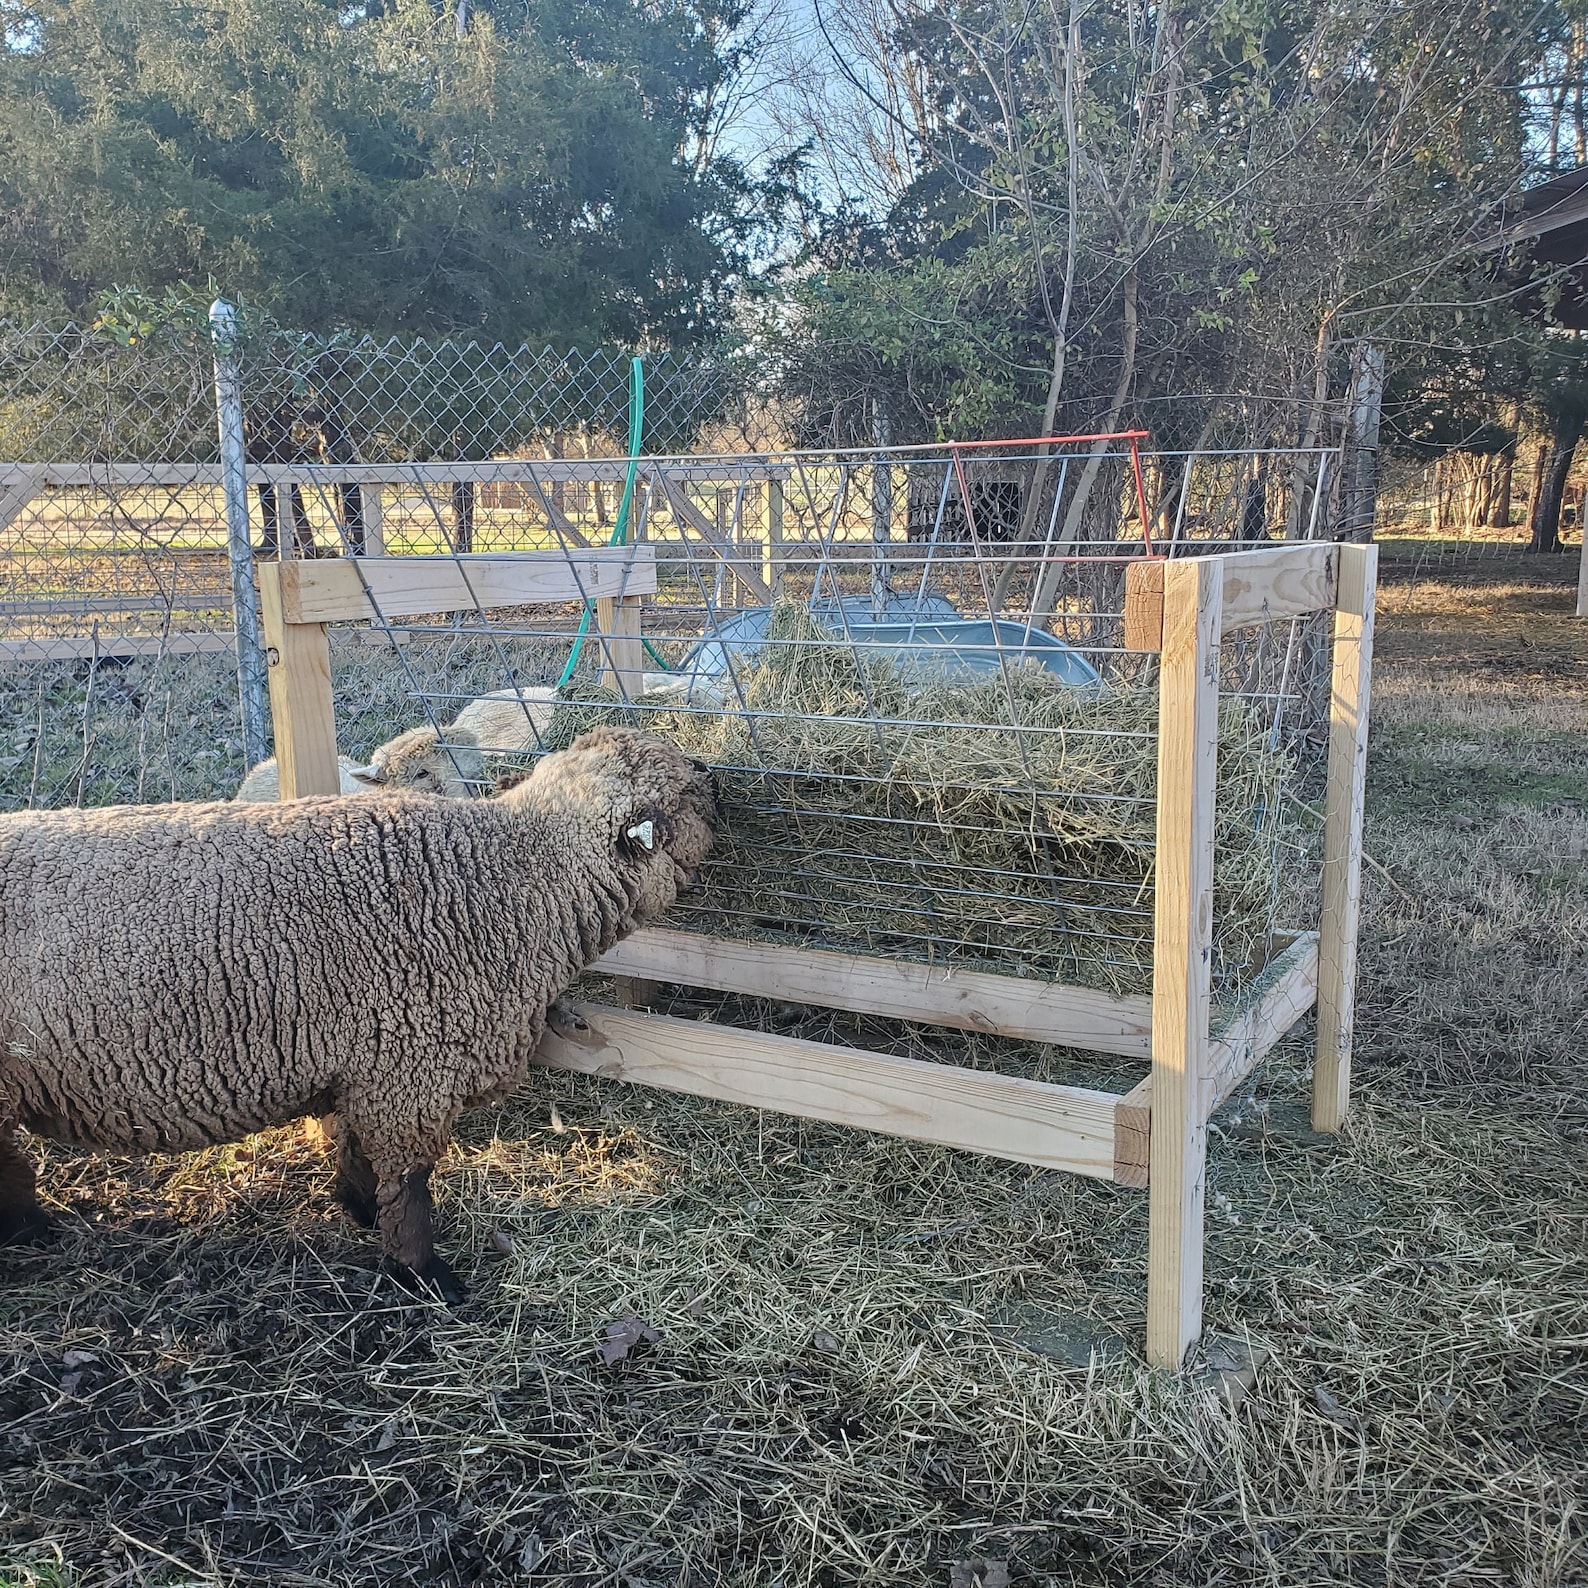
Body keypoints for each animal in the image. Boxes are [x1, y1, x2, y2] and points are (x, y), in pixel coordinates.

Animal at [0, 727, 716, 1300]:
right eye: (680, 791)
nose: (711, 774)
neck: (514, 880)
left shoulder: (366, 1060)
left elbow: (355, 1151)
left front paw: (359, 1208)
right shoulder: (411, 1072)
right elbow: (411, 1184)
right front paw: (422, 1272)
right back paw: (31, 1233)